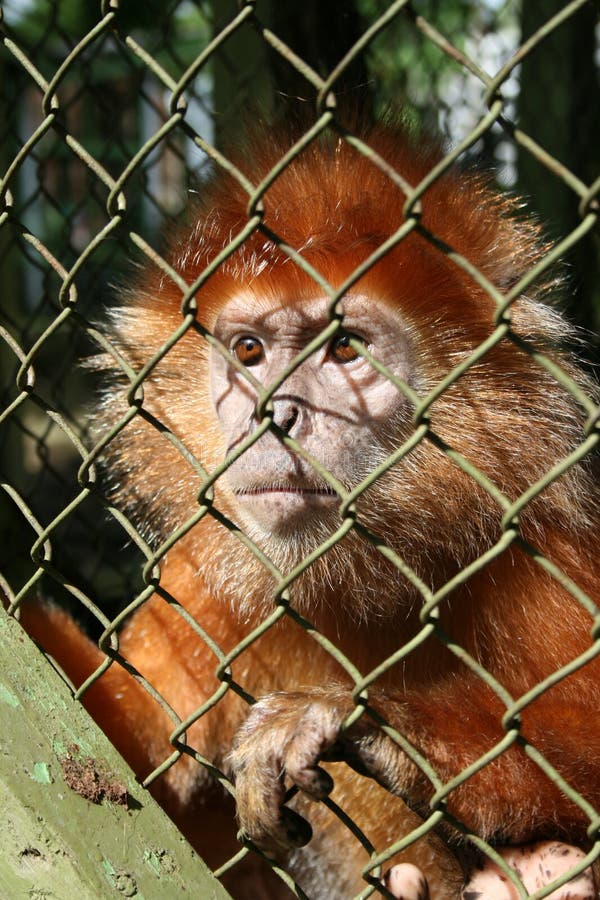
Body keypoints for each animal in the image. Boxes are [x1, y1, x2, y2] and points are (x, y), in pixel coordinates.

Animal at [19, 116, 600, 899]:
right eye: (249, 350)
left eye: (346, 349)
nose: (275, 415)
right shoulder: (203, 571)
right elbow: (115, 761)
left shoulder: (543, 544)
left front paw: (363, 719)